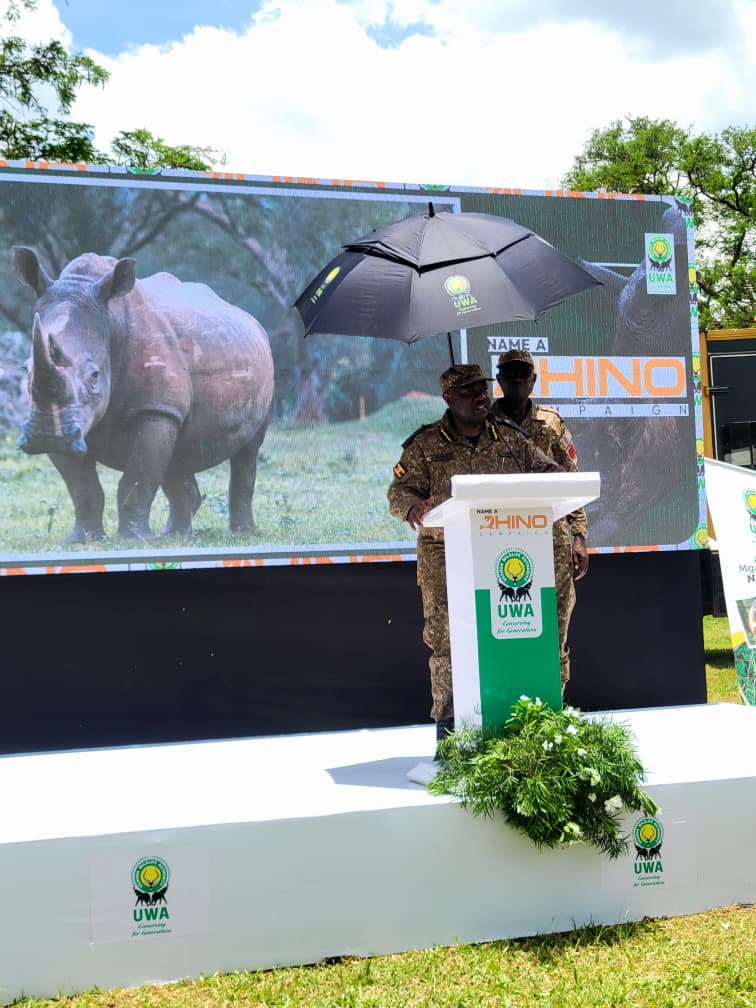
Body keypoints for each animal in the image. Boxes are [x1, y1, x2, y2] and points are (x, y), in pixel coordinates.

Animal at [13, 247, 274, 542]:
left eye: (94, 376)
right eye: (26, 369)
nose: (45, 434)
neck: (111, 321)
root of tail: (251, 319)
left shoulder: (154, 410)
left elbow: (137, 480)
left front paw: (134, 541)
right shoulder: (68, 424)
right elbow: (83, 488)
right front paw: (82, 542)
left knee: (247, 452)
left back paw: (241, 535)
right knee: (178, 455)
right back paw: (173, 536)